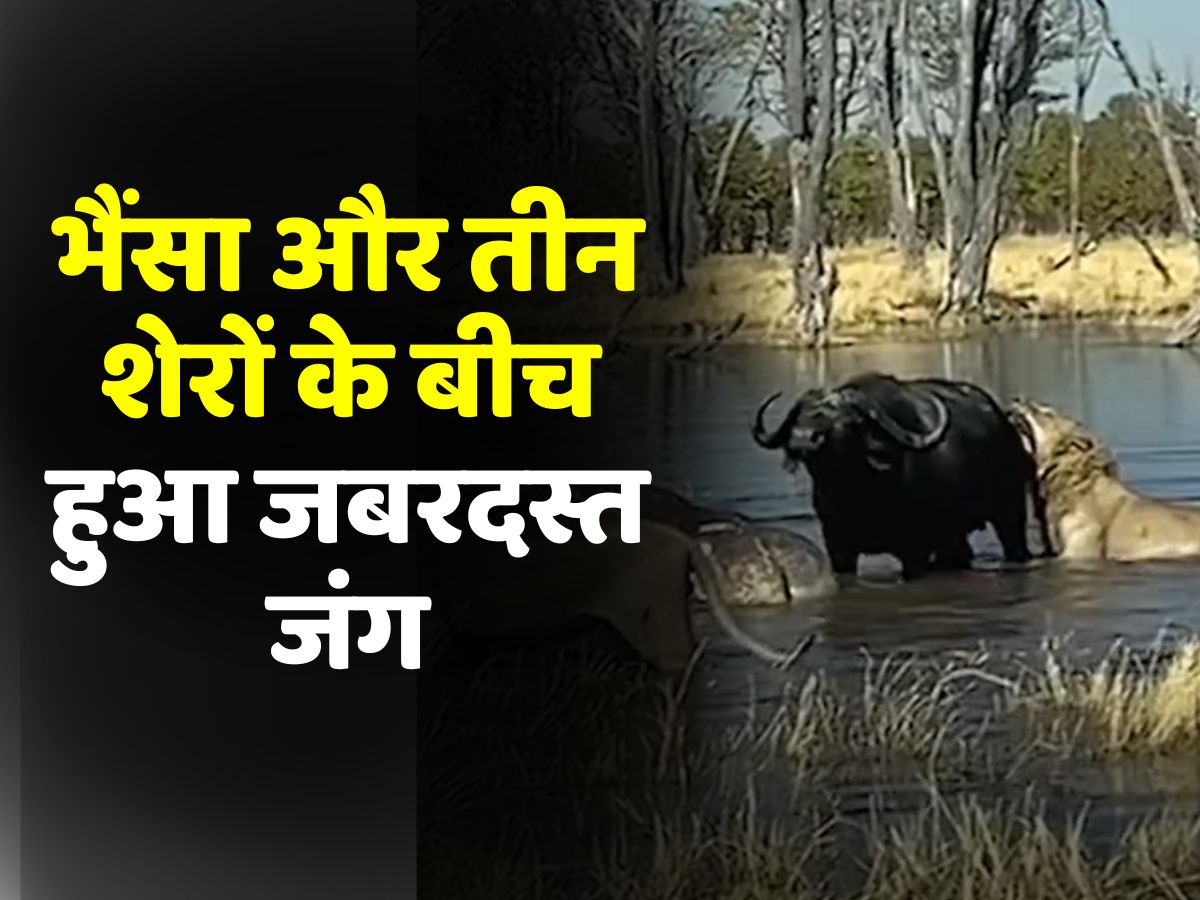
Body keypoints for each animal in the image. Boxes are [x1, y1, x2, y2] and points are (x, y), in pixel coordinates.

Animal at [752, 372, 1050, 580]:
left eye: (849, 421)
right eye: (799, 415)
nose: (803, 439)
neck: (855, 493)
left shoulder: (915, 550)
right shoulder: (838, 547)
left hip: (1009, 512)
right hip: (952, 534)